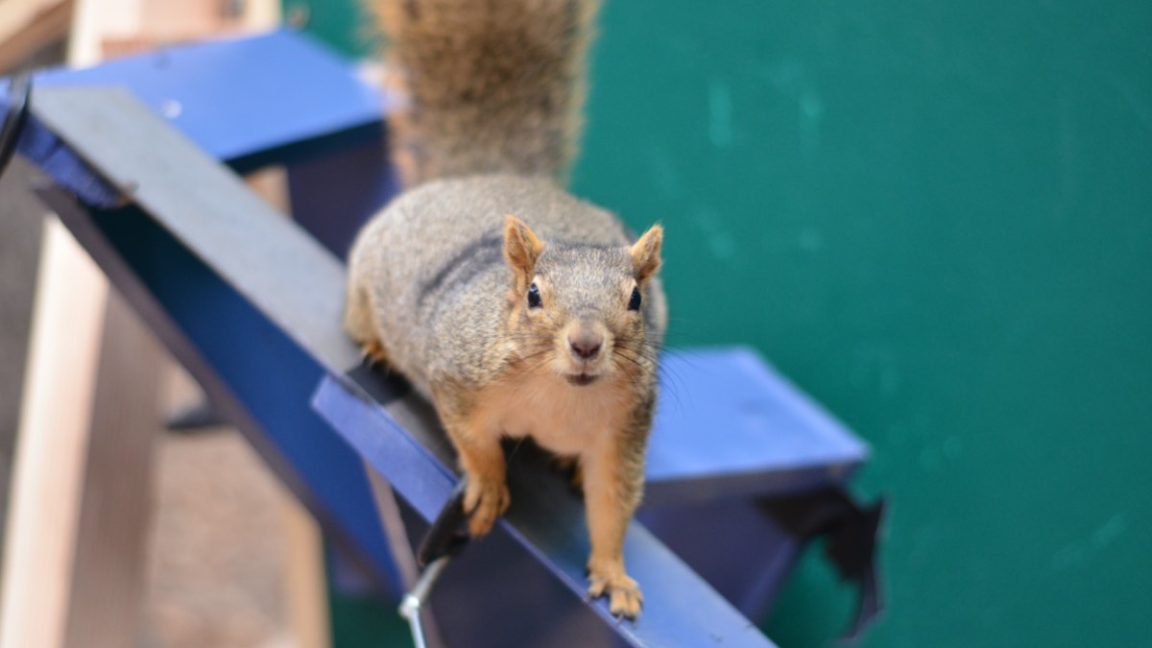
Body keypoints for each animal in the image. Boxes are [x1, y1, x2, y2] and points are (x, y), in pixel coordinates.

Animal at [345, 0, 666, 619]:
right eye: (534, 294)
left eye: (636, 299)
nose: (586, 344)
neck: (560, 396)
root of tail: (483, 177)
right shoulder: (456, 375)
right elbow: (473, 441)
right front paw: (491, 485)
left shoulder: (623, 430)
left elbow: (612, 503)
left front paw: (613, 573)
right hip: (364, 282)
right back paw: (376, 347)